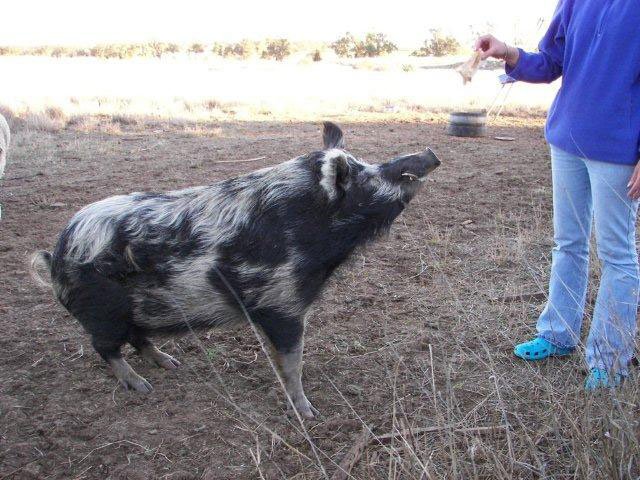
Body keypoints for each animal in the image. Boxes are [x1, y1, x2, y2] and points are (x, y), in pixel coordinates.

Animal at [30, 122, 440, 418]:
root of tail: (57, 253)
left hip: (132, 310)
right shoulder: (281, 302)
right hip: (100, 311)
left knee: (138, 337)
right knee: (105, 348)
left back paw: (171, 364)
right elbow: (292, 362)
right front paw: (309, 414)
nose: (430, 152)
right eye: (366, 177)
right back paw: (142, 386)